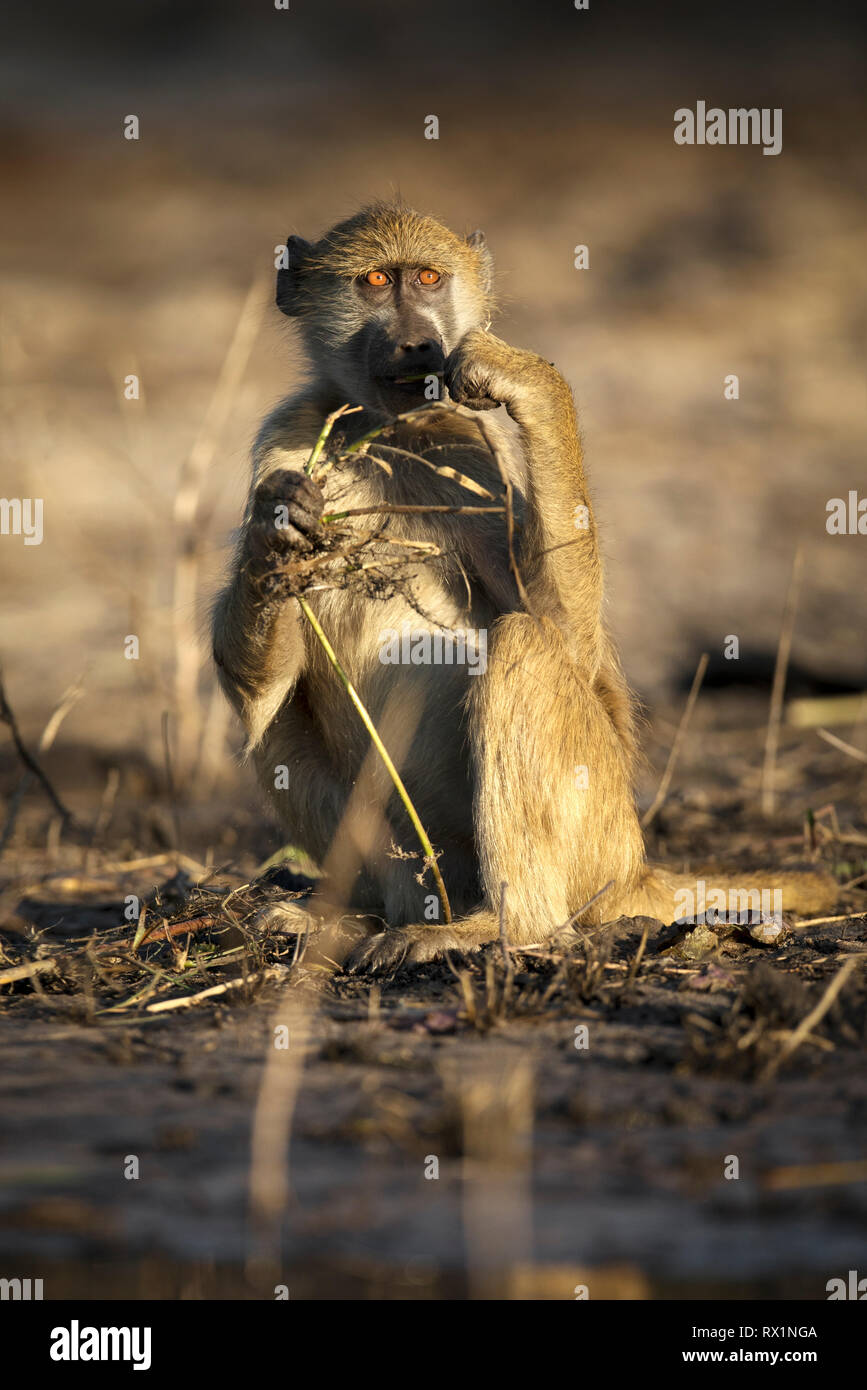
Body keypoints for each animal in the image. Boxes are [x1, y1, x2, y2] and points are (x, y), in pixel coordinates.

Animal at [211, 202, 836, 974]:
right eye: (377, 282)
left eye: (428, 278)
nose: (419, 343)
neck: (382, 433)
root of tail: (638, 868)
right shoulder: (288, 439)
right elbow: (258, 688)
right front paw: (277, 529)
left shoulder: (475, 461)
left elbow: (570, 645)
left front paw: (527, 379)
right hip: (433, 867)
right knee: (272, 722)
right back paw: (353, 922)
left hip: (600, 841)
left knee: (523, 646)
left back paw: (501, 930)